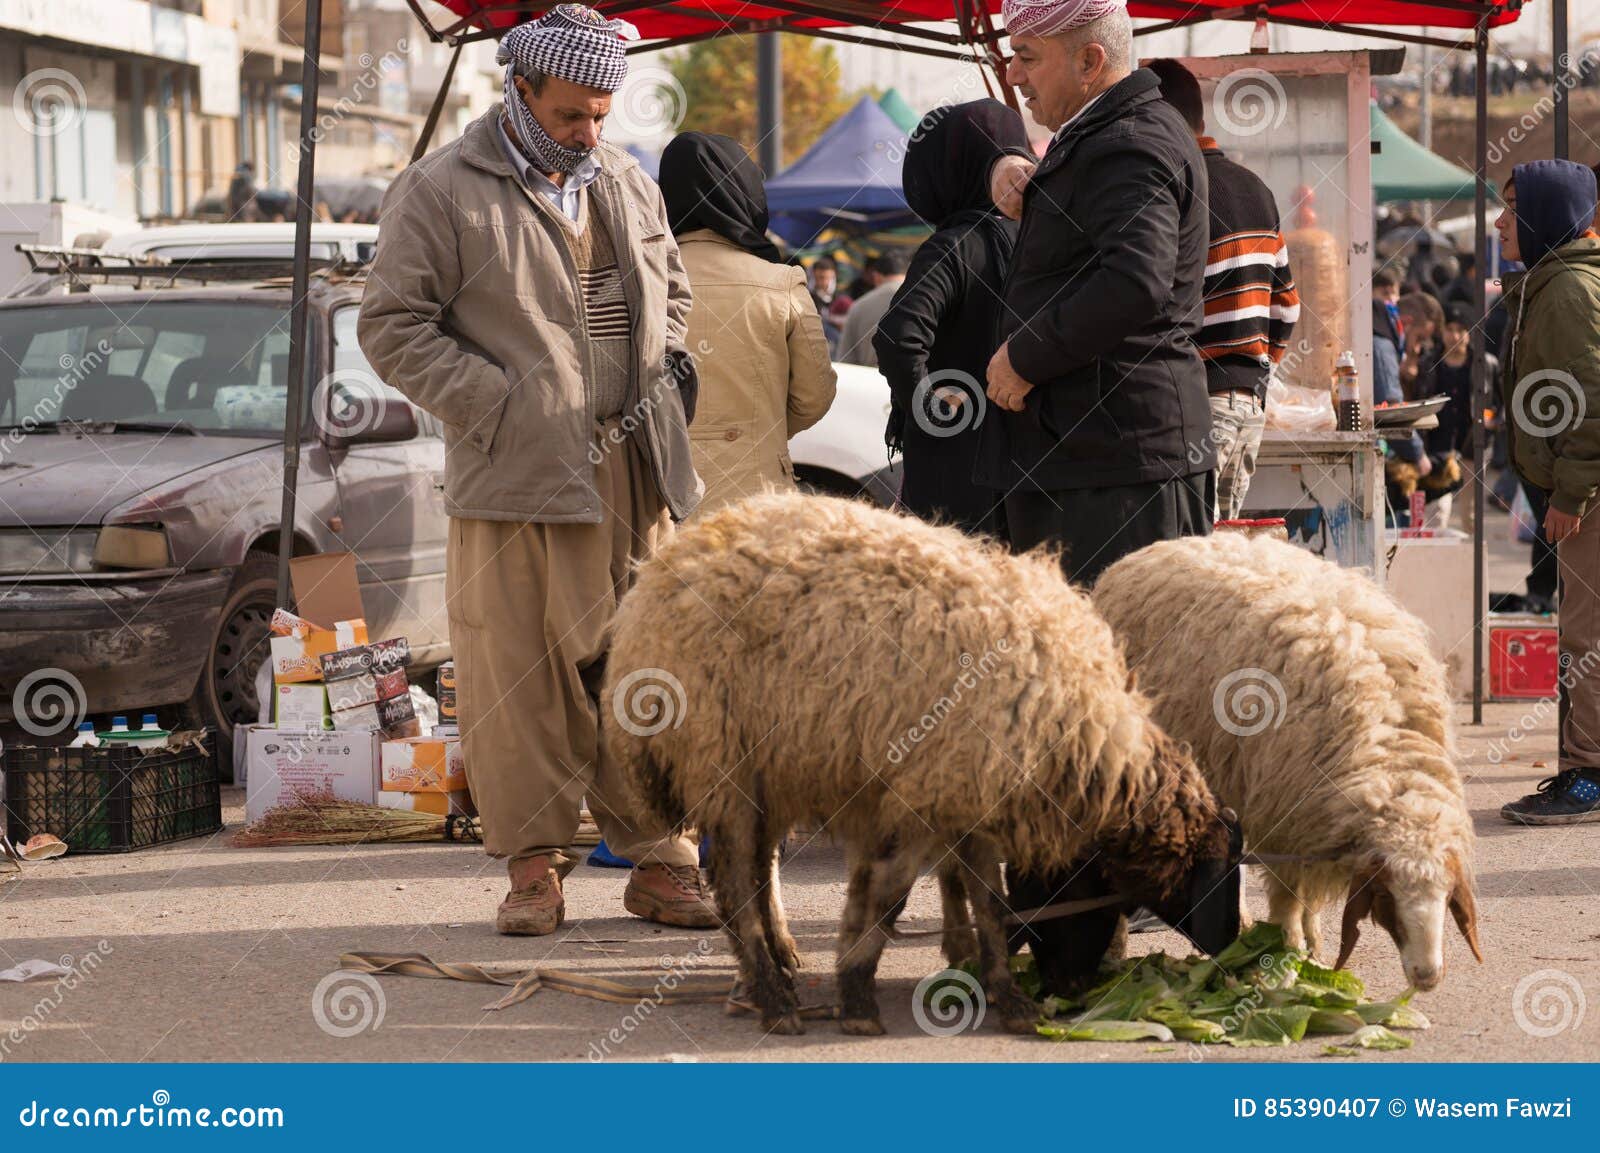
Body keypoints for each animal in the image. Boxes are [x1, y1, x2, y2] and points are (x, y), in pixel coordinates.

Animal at [601, 491, 1242, 1036]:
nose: (1074, 987)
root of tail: (657, 574)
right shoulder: (918, 796)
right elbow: (889, 898)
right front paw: (858, 997)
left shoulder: (965, 796)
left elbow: (986, 900)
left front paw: (1007, 996)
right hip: (719, 758)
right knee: (735, 886)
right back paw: (774, 997)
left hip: (768, 769)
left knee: (760, 868)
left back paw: (780, 962)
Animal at [1089, 531, 1483, 991]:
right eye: (1385, 894)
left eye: (1448, 895)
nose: (1427, 976)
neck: (1385, 745)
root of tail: (1156, 547)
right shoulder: (1285, 819)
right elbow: (1286, 898)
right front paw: (1285, 961)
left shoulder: (1310, 819)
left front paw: (1312, 945)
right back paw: (1116, 952)